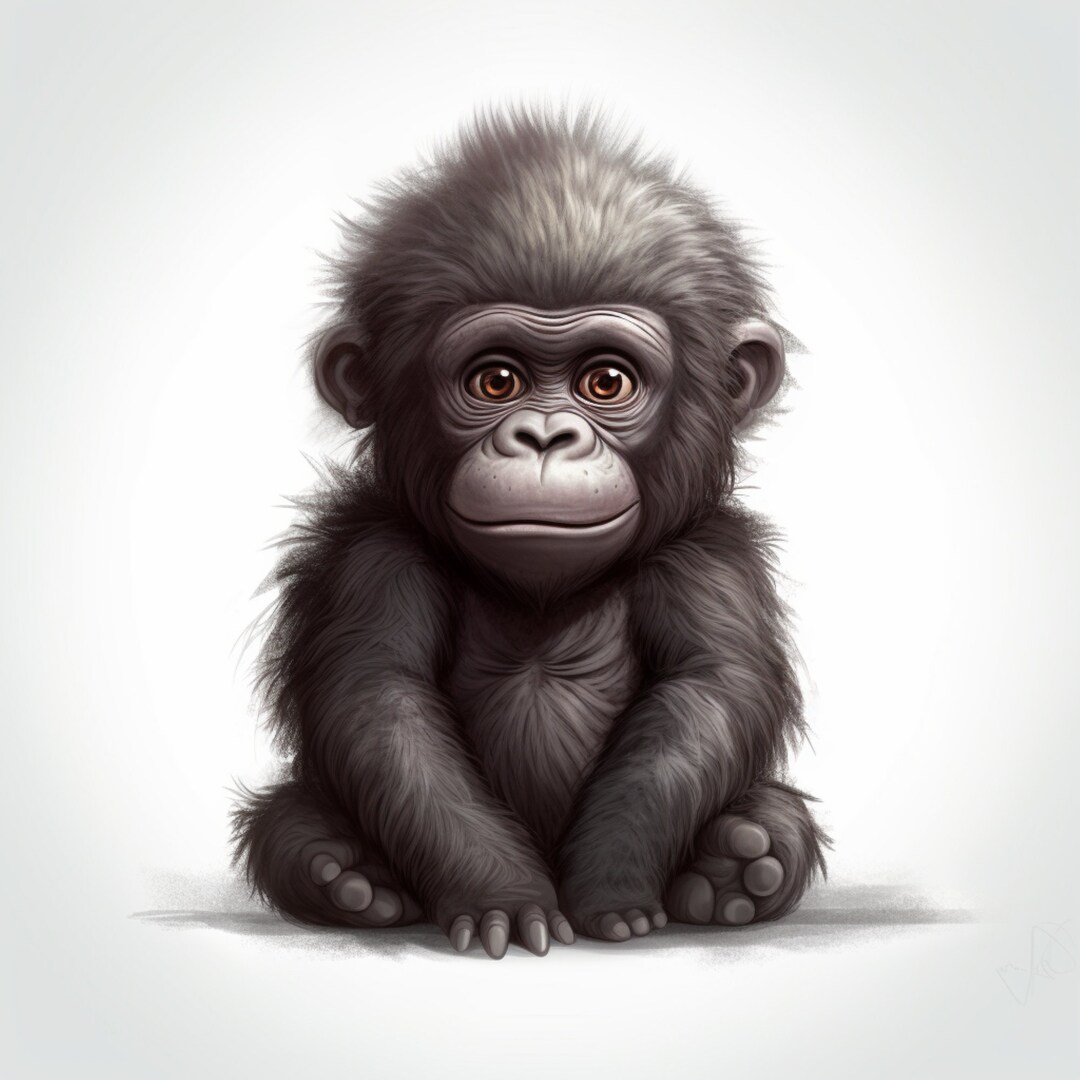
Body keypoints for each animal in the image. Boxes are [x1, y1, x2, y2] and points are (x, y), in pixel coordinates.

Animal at [232, 108, 828, 959]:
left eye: (606, 381)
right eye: (496, 381)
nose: (545, 437)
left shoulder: (710, 562)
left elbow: (706, 692)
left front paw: (612, 886)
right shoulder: (374, 558)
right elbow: (383, 702)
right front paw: (503, 897)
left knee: (774, 818)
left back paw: (742, 862)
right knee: (290, 825)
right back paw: (343, 871)